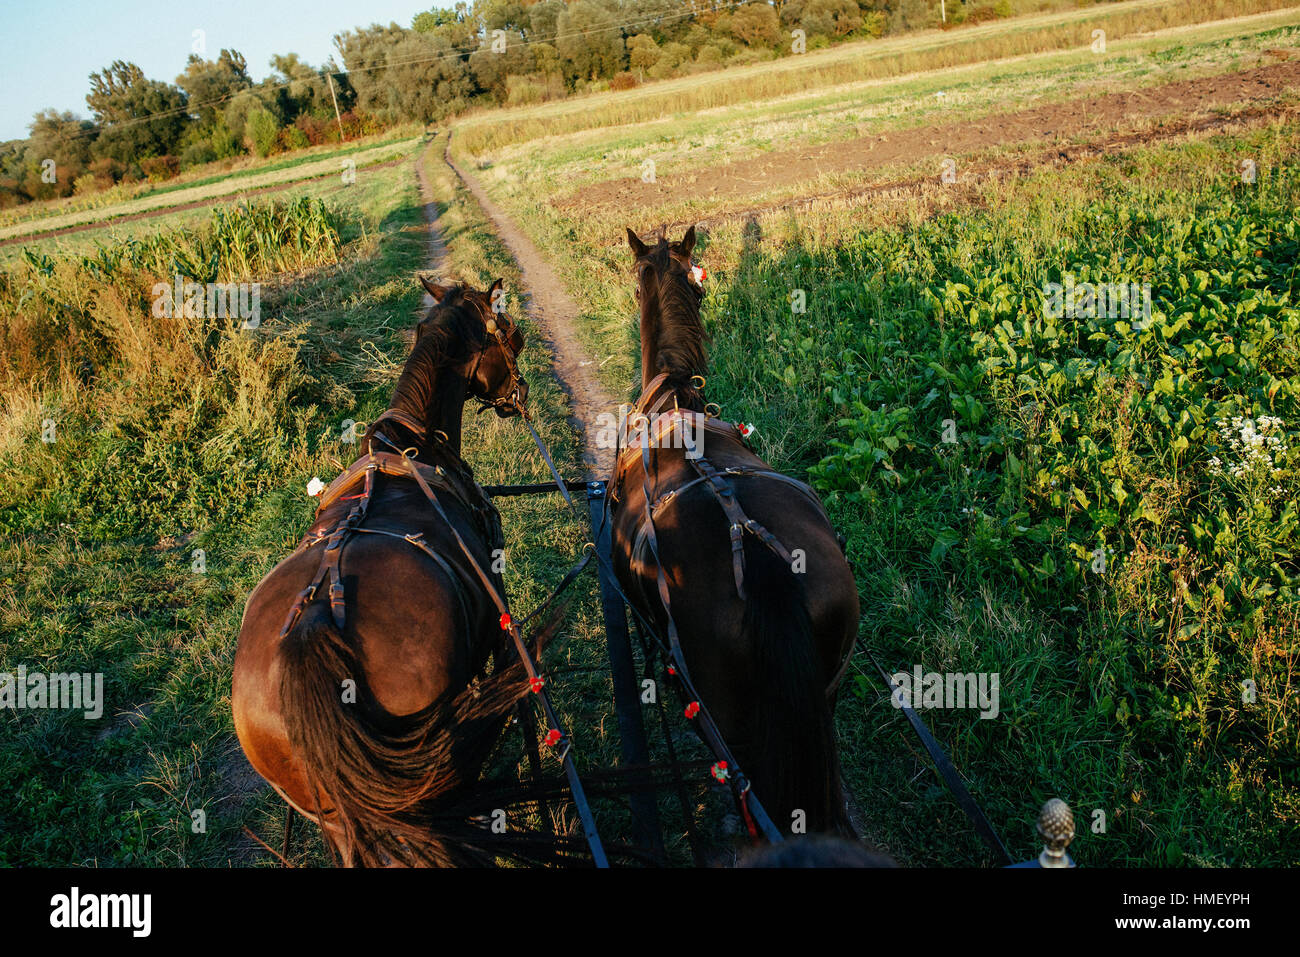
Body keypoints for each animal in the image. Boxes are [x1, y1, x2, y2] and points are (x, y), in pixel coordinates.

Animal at [232, 277, 542, 867]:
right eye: (509, 334)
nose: (521, 396)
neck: (407, 447)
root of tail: (313, 629)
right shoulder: (498, 629)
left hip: (338, 815)